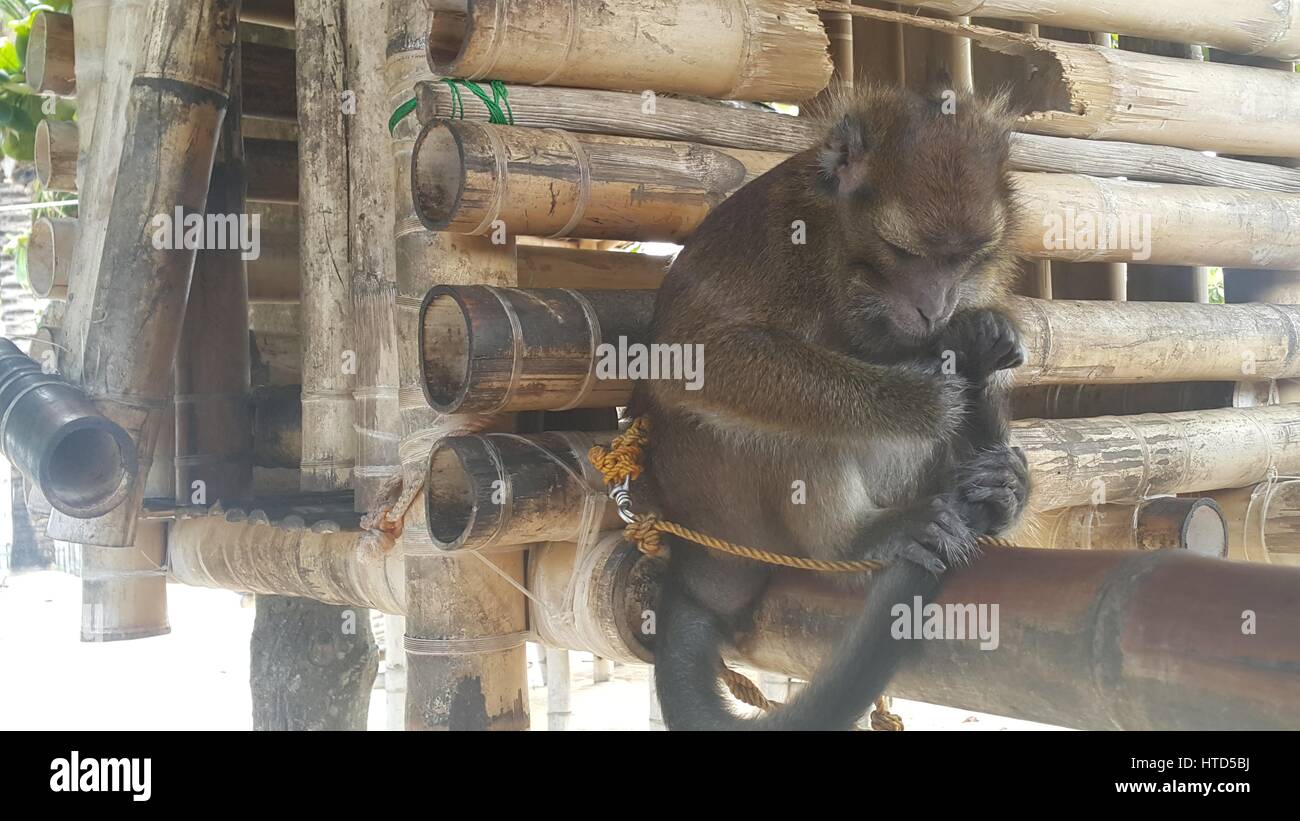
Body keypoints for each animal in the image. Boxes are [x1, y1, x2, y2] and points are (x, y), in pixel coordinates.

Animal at [627, 85, 1030, 730]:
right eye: (903, 251)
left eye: (966, 258)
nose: (935, 307)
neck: (844, 257)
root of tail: (701, 566)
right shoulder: (785, 241)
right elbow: (695, 359)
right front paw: (918, 397)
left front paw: (979, 335)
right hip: (729, 506)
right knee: (793, 422)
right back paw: (856, 541)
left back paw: (998, 487)